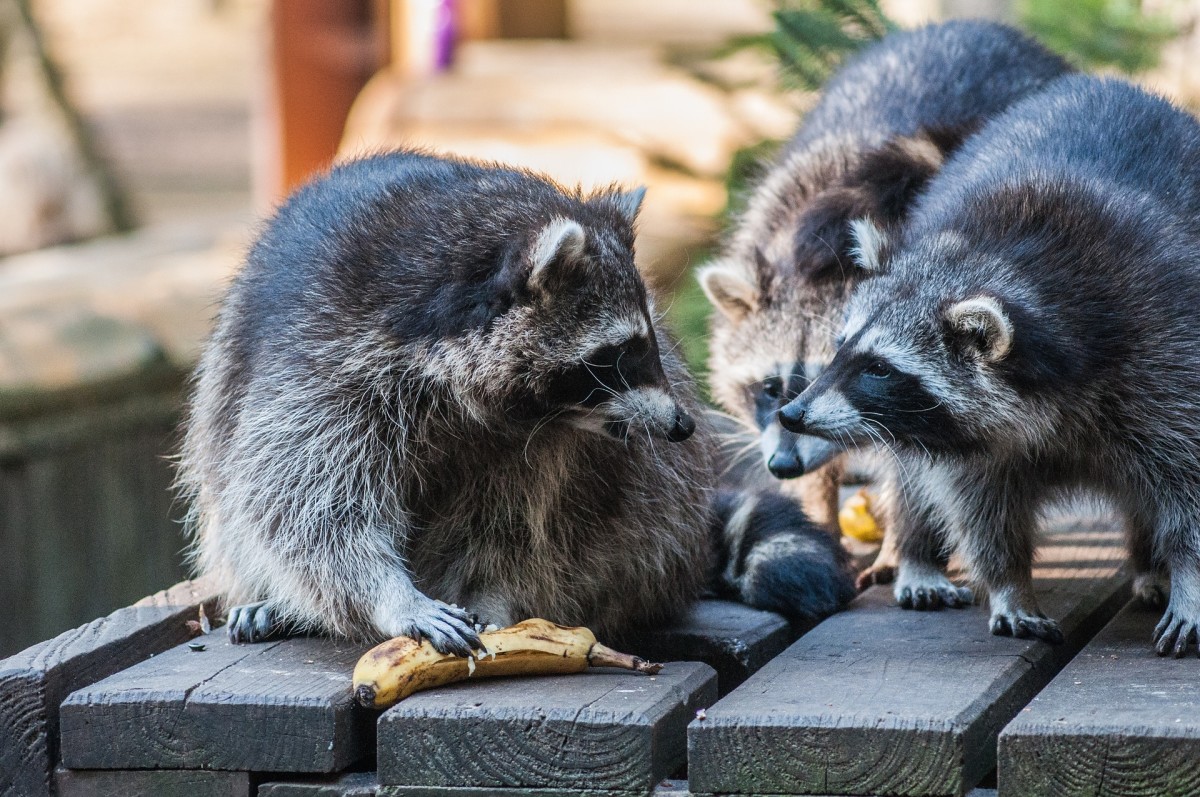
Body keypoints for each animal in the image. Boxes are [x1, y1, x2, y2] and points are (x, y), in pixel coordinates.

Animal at [179, 150, 851, 651]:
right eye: (620, 354)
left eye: (650, 342)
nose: (684, 426)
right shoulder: (320, 362)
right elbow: (304, 504)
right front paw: (390, 596)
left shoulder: (541, 445)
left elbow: (518, 524)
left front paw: (492, 594)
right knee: (233, 494)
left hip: (652, 513)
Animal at [700, 21, 1070, 582]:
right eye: (767, 387)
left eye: (856, 370)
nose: (782, 466)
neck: (820, 257)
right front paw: (817, 513)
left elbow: (915, 468)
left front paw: (901, 545)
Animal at [780, 75, 1200, 656]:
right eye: (840, 347)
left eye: (879, 368)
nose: (791, 414)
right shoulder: (970, 441)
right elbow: (980, 505)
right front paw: (1009, 584)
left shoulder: (1167, 349)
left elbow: (1188, 480)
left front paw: (1190, 580)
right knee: (915, 480)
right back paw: (917, 553)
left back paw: (1152, 564)